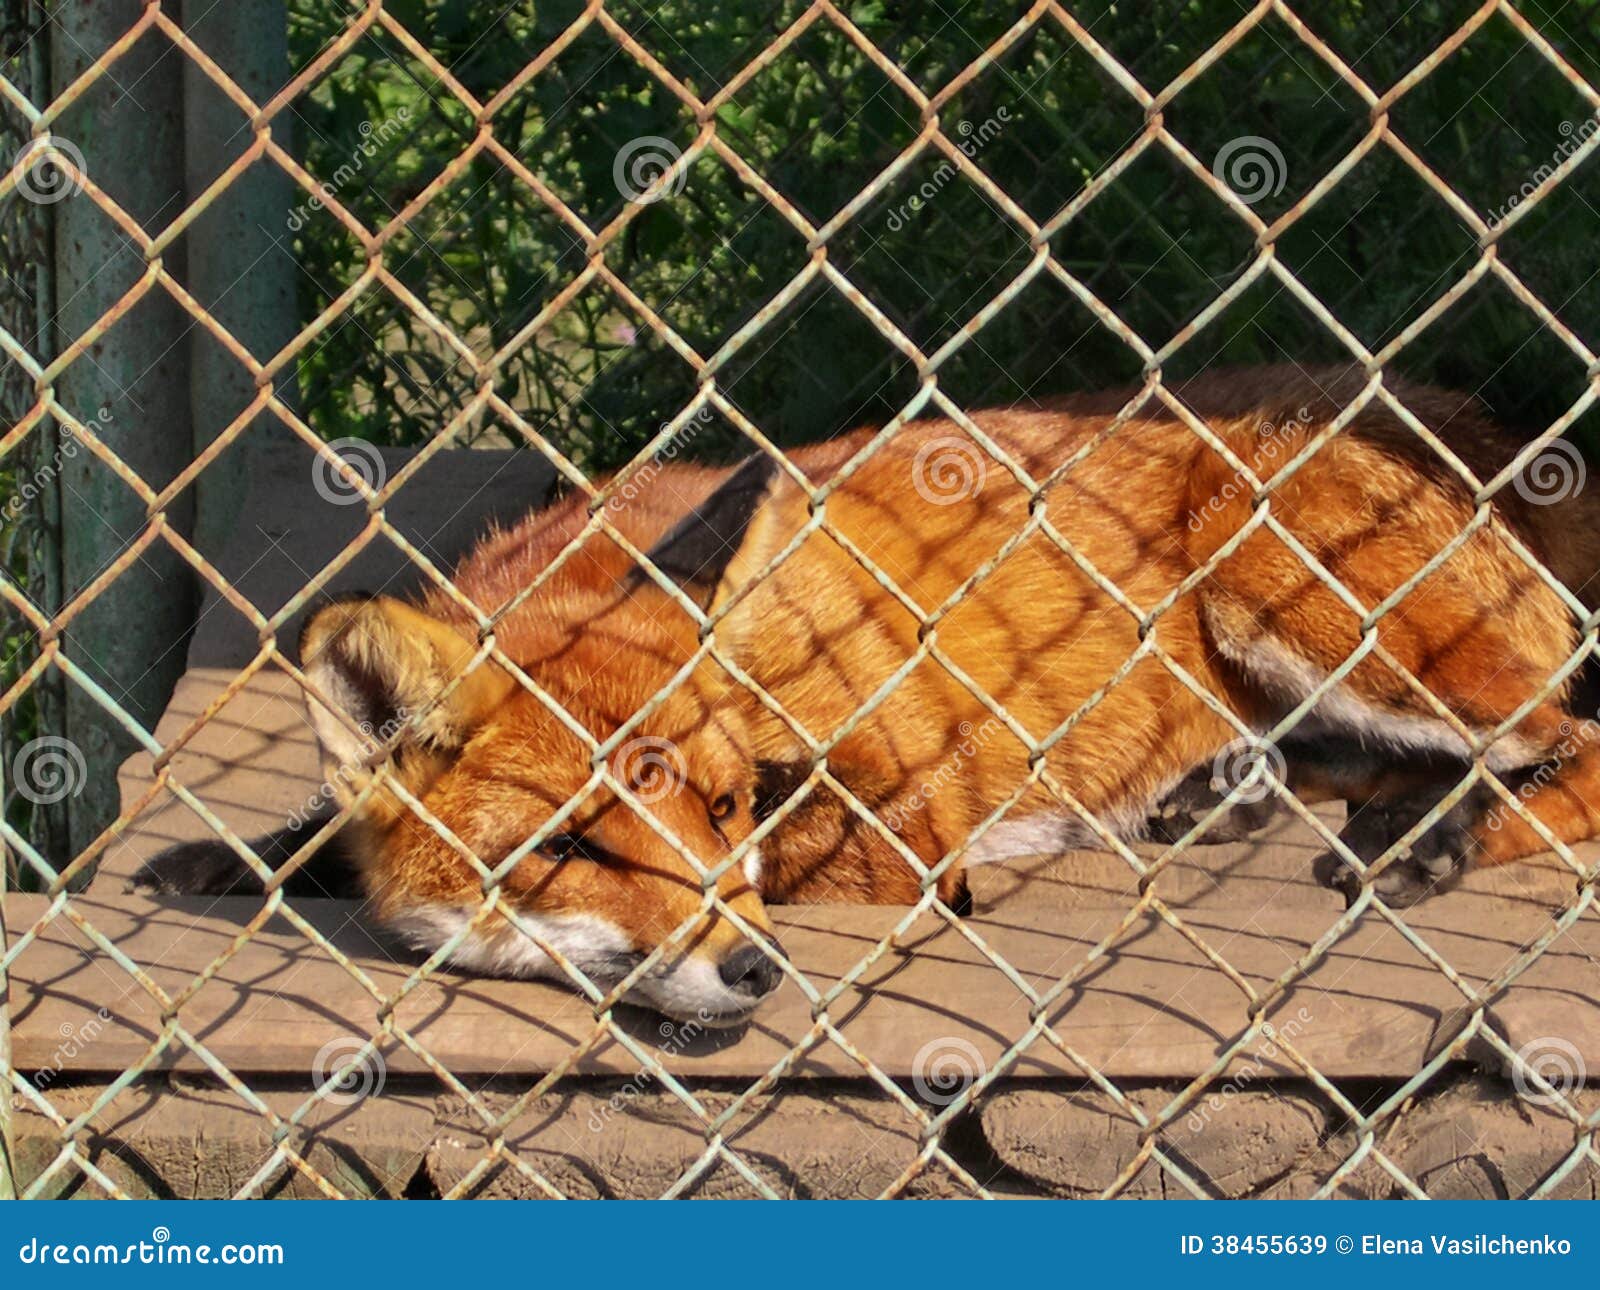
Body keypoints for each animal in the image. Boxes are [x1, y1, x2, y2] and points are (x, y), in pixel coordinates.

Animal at [137, 366, 1600, 1026]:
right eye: (572, 848)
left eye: (724, 807)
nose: (750, 967)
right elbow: (322, 832)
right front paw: (249, 856)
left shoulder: (904, 823)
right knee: (1366, 754)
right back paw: (1241, 795)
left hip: (1289, 575)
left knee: (1565, 738)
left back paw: (1440, 838)